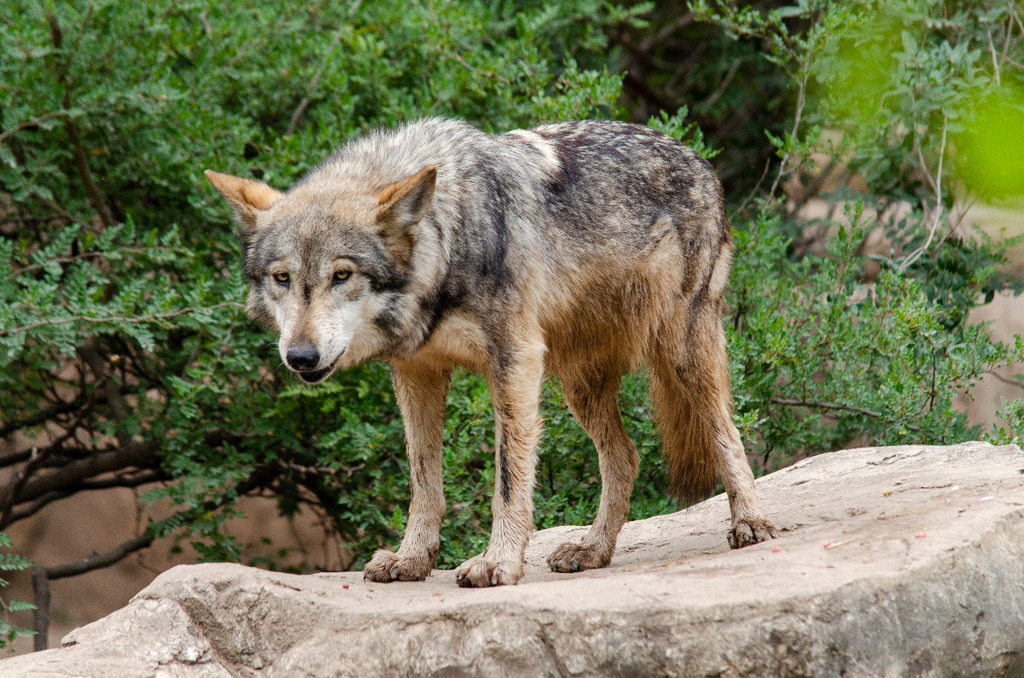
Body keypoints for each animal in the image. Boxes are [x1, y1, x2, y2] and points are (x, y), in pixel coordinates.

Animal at [205, 117, 777, 587]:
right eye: (282, 278)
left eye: (341, 275)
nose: (299, 357)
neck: (445, 242)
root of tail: (696, 155)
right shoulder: (416, 373)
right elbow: (424, 481)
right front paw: (412, 559)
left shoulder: (514, 362)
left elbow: (507, 480)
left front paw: (497, 562)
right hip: (579, 385)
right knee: (626, 456)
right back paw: (592, 550)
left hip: (680, 353)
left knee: (727, 432)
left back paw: (750, 522)